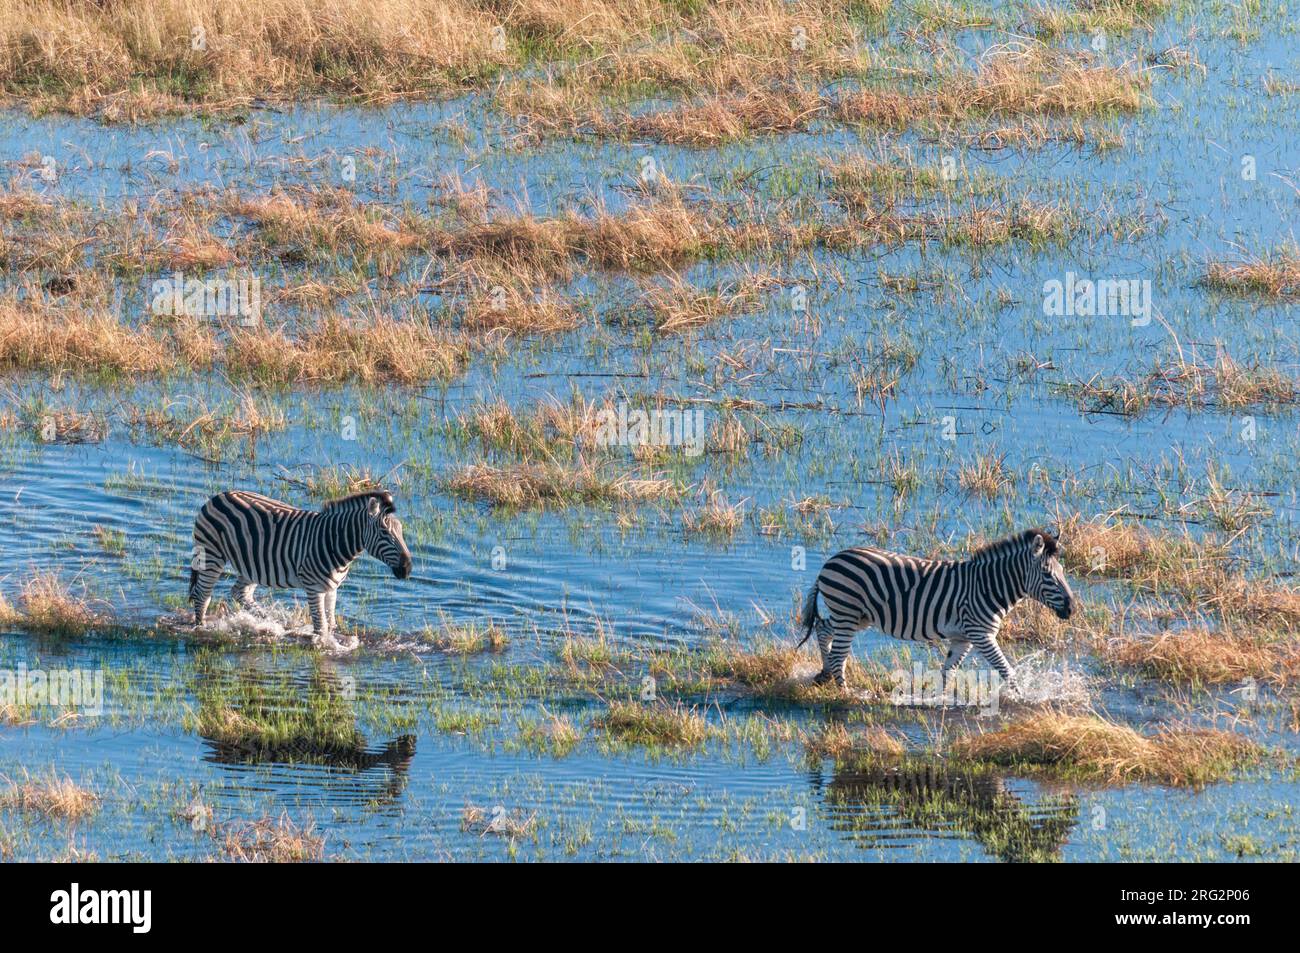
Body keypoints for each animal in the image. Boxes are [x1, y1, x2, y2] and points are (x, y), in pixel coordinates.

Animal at [189, 488, 412, 651]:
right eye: (384, 532)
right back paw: (201, 629)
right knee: (203, 595)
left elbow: (331, 624)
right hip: (212, 554)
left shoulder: (332, 589)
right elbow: (321, 626)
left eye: (401, 531)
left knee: (239, 593)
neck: (335, 542)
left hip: (252, 564)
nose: (407, 569)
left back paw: (270, 624)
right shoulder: (314, 588)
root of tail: (217, 496)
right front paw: (326, 646)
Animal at [798, 528, 1074, 689]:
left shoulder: (964, 638)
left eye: (1062, 572)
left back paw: (824, 674)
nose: (1071, 609)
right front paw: (1020, 697)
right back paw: (845, 692)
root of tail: (832, 560)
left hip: (856, 615)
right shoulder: (981, 634)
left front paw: (942, 699)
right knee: (839, 653)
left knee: (823, 629)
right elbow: (1007, 670)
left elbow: (948, 671)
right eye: (1048, 575)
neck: (989, 586)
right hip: (848, 611)